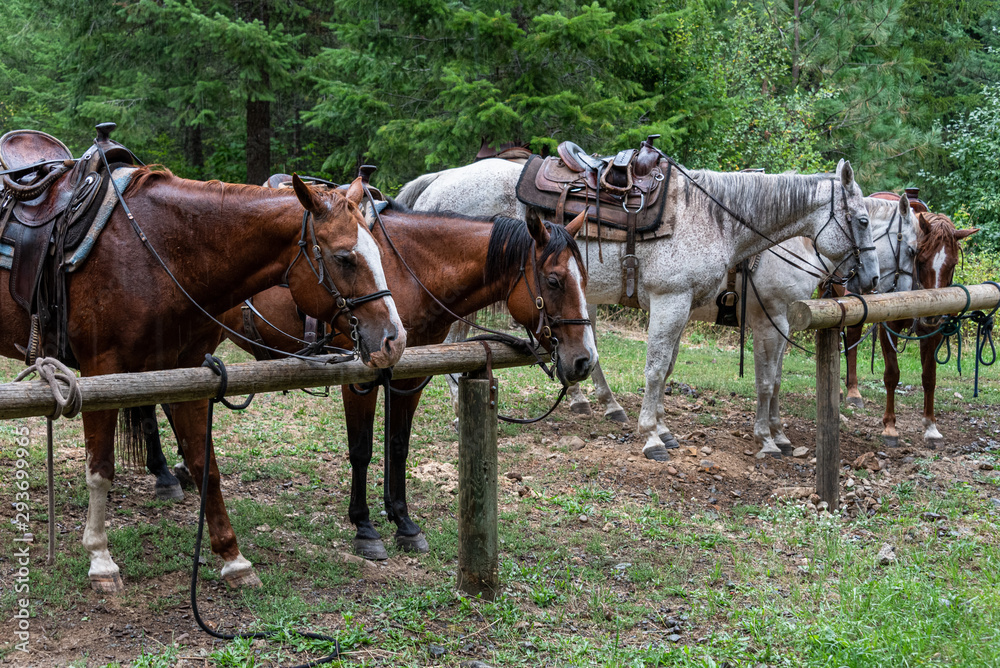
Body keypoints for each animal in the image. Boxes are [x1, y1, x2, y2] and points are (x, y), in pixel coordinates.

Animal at [0, 170, 405, 593]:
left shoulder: (191, 374)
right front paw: (100, 559)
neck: (158, 254)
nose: (395, 339)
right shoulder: (101, 372)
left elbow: (204, 464)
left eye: (379, 252)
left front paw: (233, 558)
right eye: (344, 258)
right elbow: (100, 470)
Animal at [396, 157, 881, 460]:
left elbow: (671, 370)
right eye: (862, 220)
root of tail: (440, 179)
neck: (714, 219)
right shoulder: (684, 303)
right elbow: (660, 369)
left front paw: (665, 428)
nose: (873, 279)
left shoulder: (689, 305)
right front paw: (652, 438)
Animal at [843, 210, 978, 447]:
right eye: (921, 260)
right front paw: (890, 427)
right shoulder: (888, 326)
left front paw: (931, 427)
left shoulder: (932, 332)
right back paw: (852, 392)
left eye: (953, 263)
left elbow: (929, 376)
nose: (933, 314)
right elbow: (892, 375)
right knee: (851, 337)